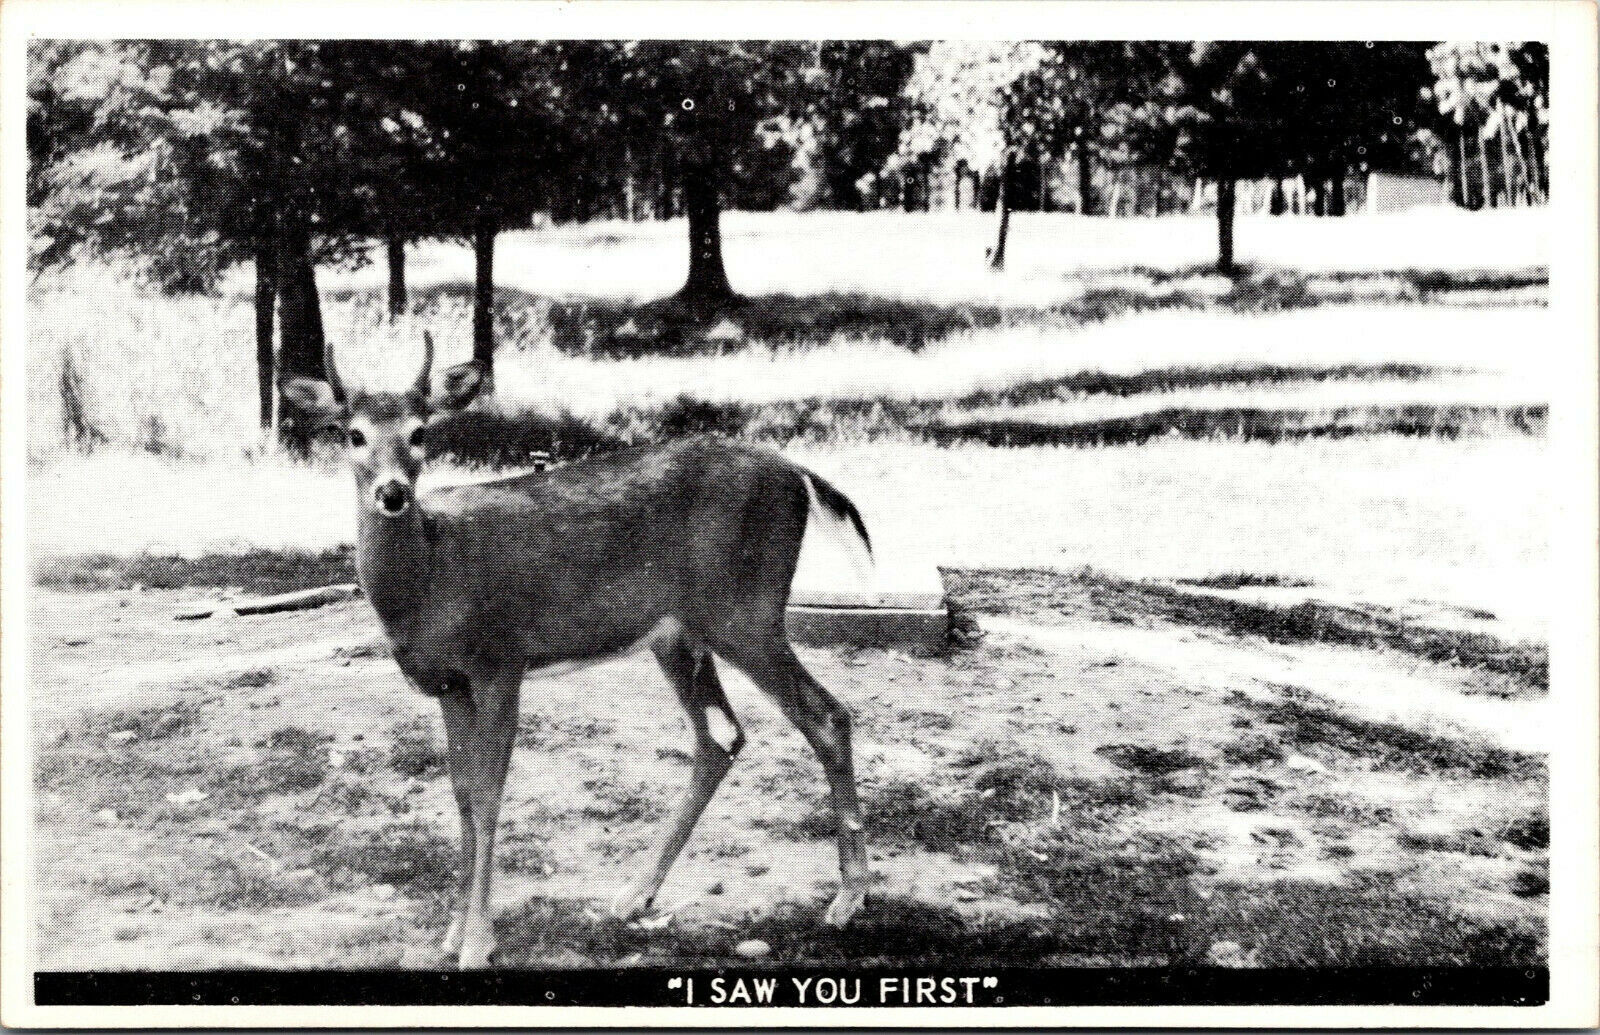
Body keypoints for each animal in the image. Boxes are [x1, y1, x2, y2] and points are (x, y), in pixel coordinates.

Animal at [283, 333, 874, 969]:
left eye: (420, 432)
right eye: (353, 433)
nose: (391, 493)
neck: (431, 578)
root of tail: (798, 472)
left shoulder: (499, 661)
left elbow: (488, 796)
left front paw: (478, 943)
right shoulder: (448, 684)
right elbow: (462, 796)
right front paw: (450, 935)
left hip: (746, 611)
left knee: (826, 714)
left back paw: (849, 898)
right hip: (680, 633)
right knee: (721, 736)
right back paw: (635, 894)